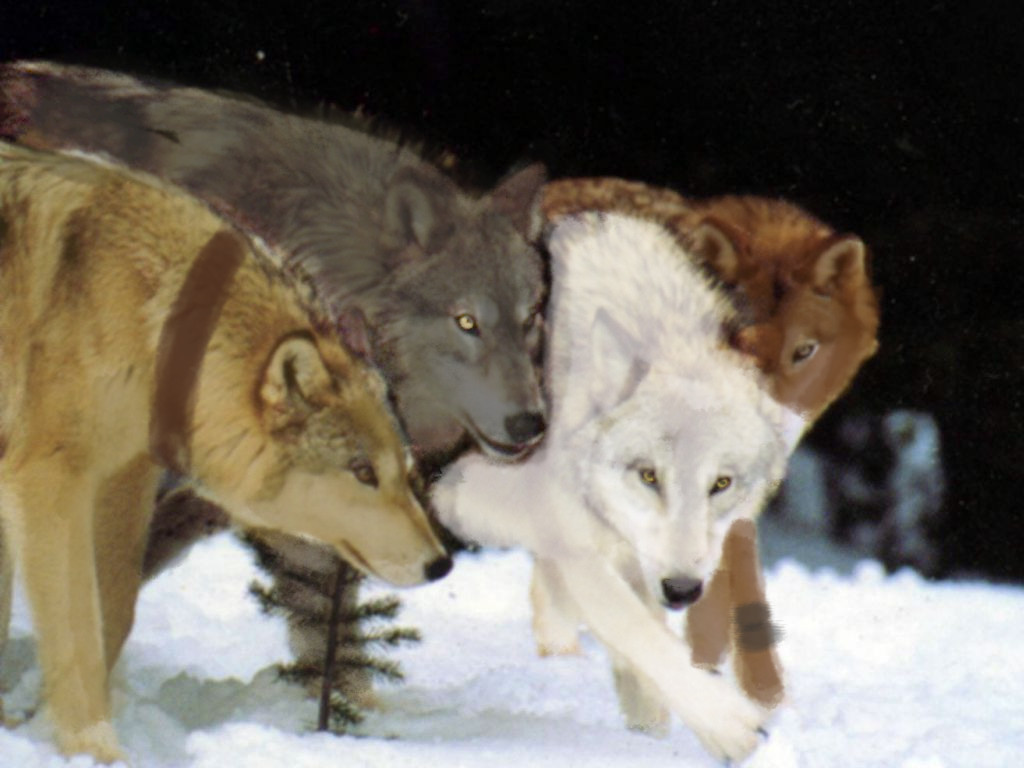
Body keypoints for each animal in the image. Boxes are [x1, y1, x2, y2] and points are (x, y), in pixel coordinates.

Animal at [0, 145, 450, 762]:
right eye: (362, 471)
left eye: (405, 474)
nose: (442, 563)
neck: (154, 316)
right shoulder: (49, 480)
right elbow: (77, 630)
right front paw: (97, 751)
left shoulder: (124, 482)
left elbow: (114, 609)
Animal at [433, 213, 787, 763]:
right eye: (648, 475)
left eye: (721, 483)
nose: (683, 590)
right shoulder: (560, 532)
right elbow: (634, 626)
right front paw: (728, 725)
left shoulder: (626, 549)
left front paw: (648, 720)